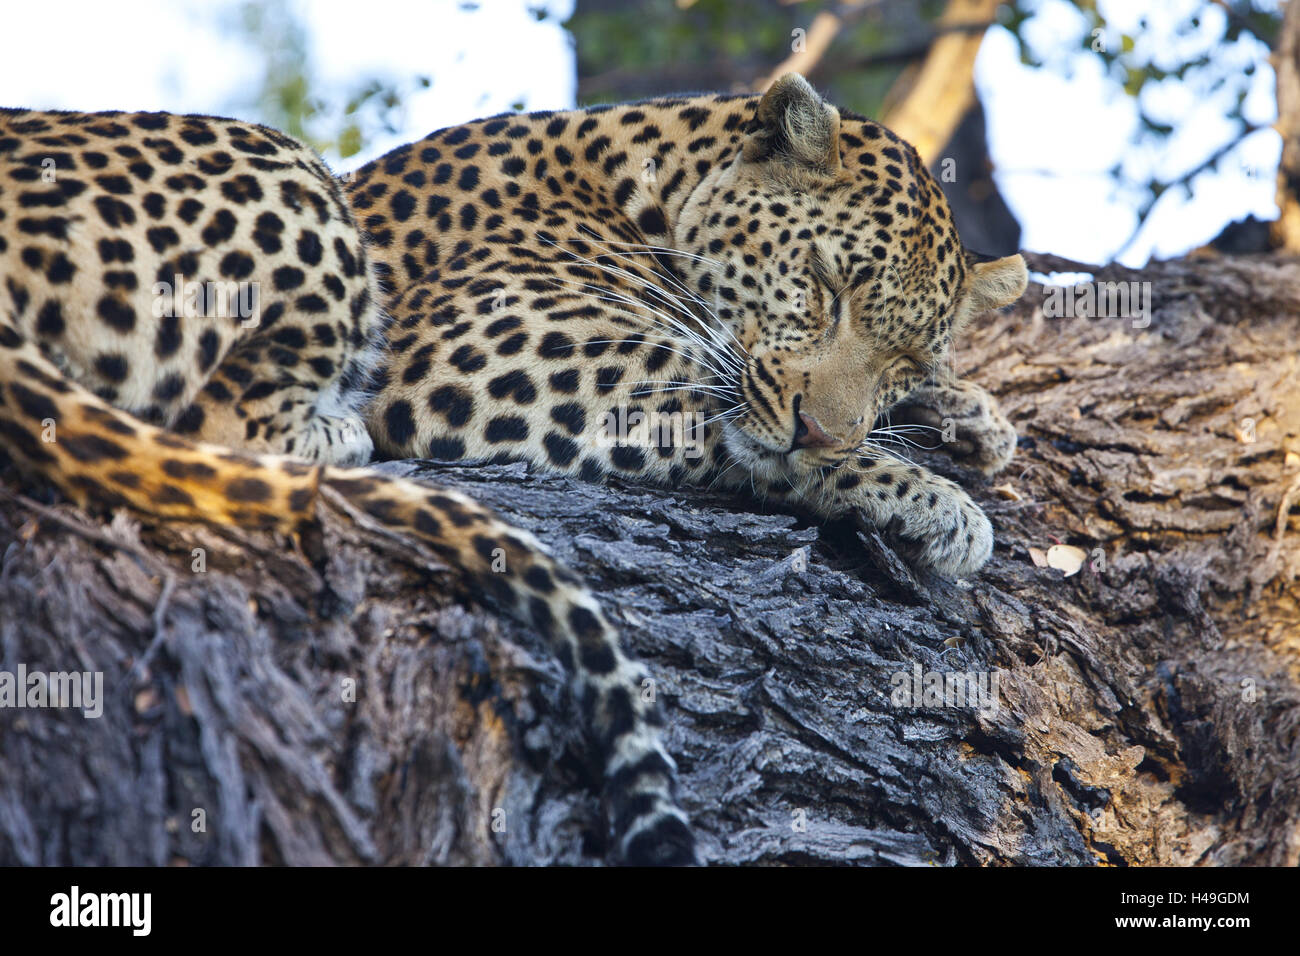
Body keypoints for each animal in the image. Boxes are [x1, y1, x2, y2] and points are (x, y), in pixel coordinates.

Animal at [0, 73, 1026, 866]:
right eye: (825, 284)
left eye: (906, 360)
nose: (820, 433)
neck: (653, 180)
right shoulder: (486, 353)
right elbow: (720, 409)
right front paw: (932, 501)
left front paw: (969, 417)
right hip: (277, 162)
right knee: (229, 420)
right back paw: (341, 434)